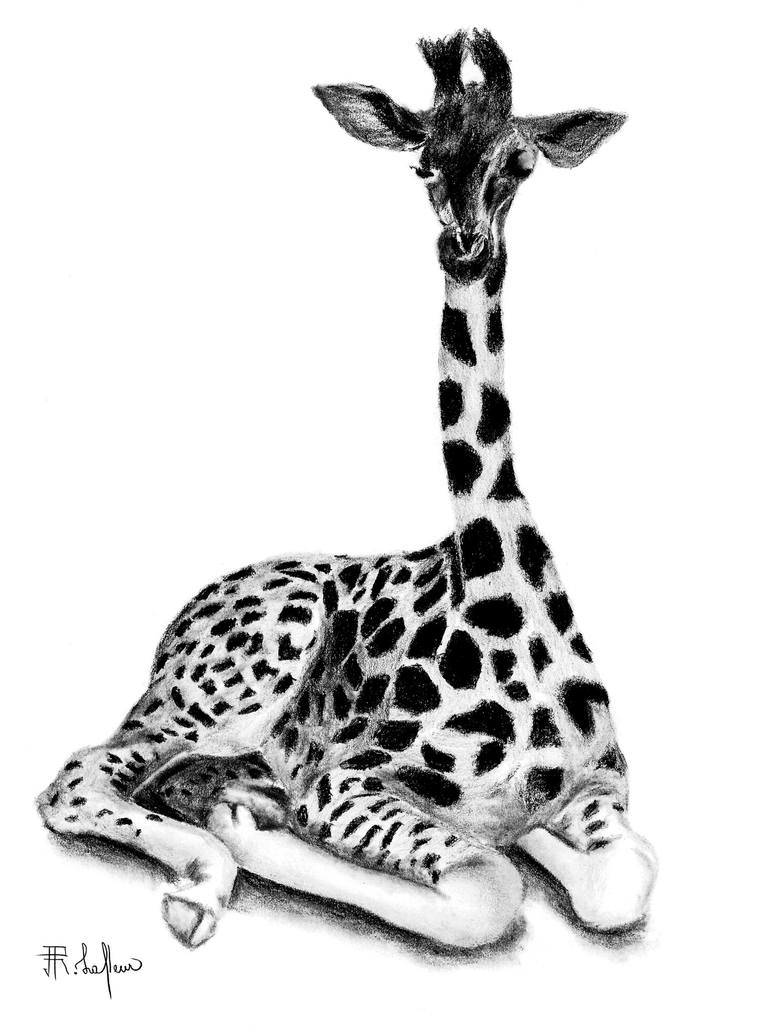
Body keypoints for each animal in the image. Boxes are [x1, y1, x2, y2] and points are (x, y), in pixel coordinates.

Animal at [37, 29, 656, 950]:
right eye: (424, 164)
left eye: (519, 164)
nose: (464, 245)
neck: (502, 581)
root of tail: (185, 614)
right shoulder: (347, 781)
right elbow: (488, 888)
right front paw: (245, 833)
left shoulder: (598, 787)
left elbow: (621, 881)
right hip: (236, 674)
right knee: (81, 772)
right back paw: (207, 868)